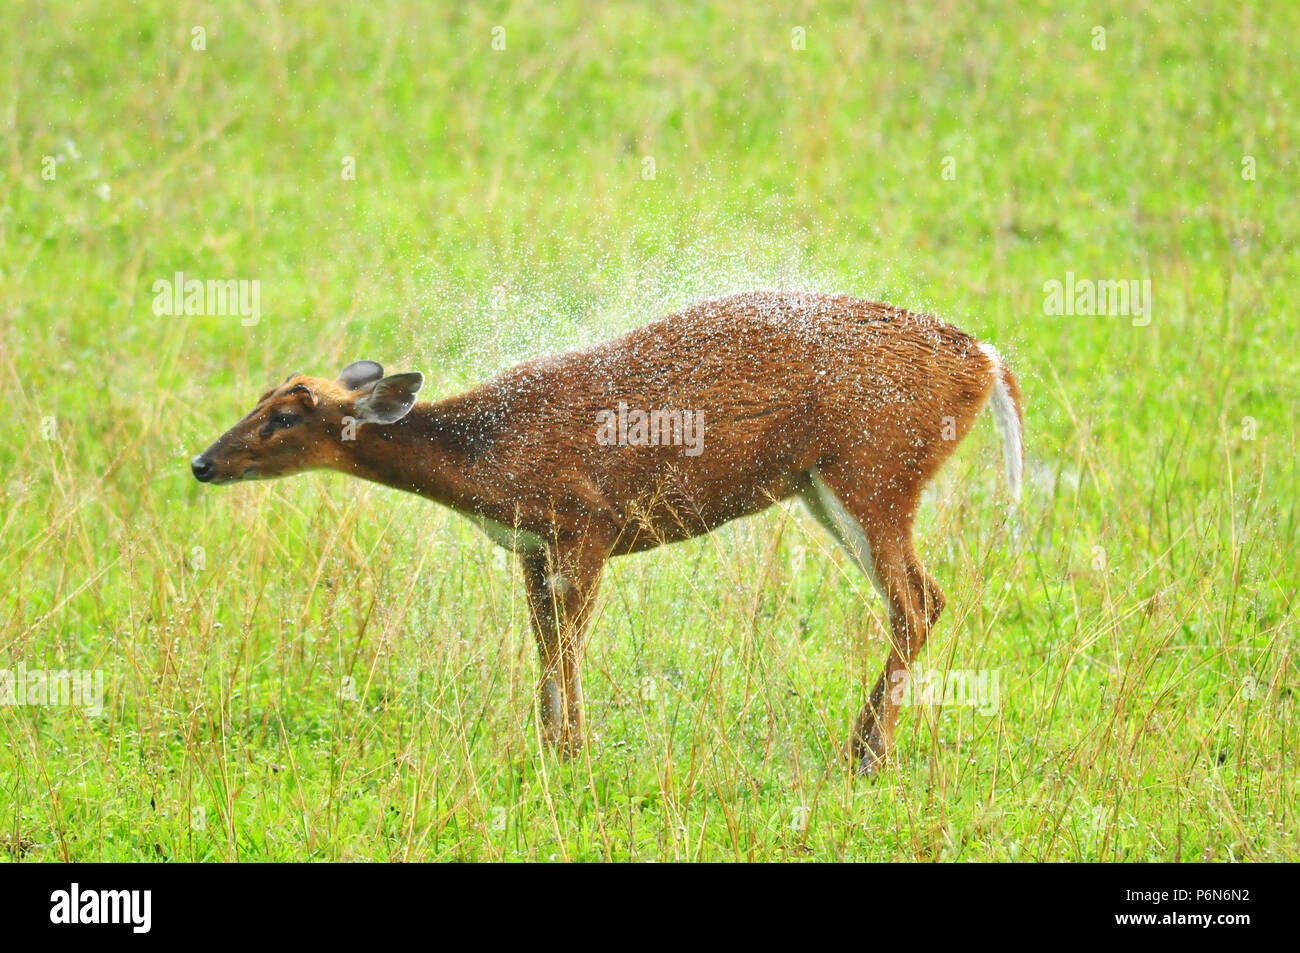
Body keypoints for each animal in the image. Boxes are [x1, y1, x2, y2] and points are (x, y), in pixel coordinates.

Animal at [191, 291, 1024, 775]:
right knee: (925, 598)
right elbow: (542, 638)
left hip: (875, 466)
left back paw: (864, 754)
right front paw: (550, 743)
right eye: (260, 396)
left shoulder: (585, 519)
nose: (201, 462)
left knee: (916, 599)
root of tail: (986, 360)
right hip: (832, 481)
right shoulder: (531, 544)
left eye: (286, 416)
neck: (487, 458)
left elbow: (569, 639)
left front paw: (572, 751)